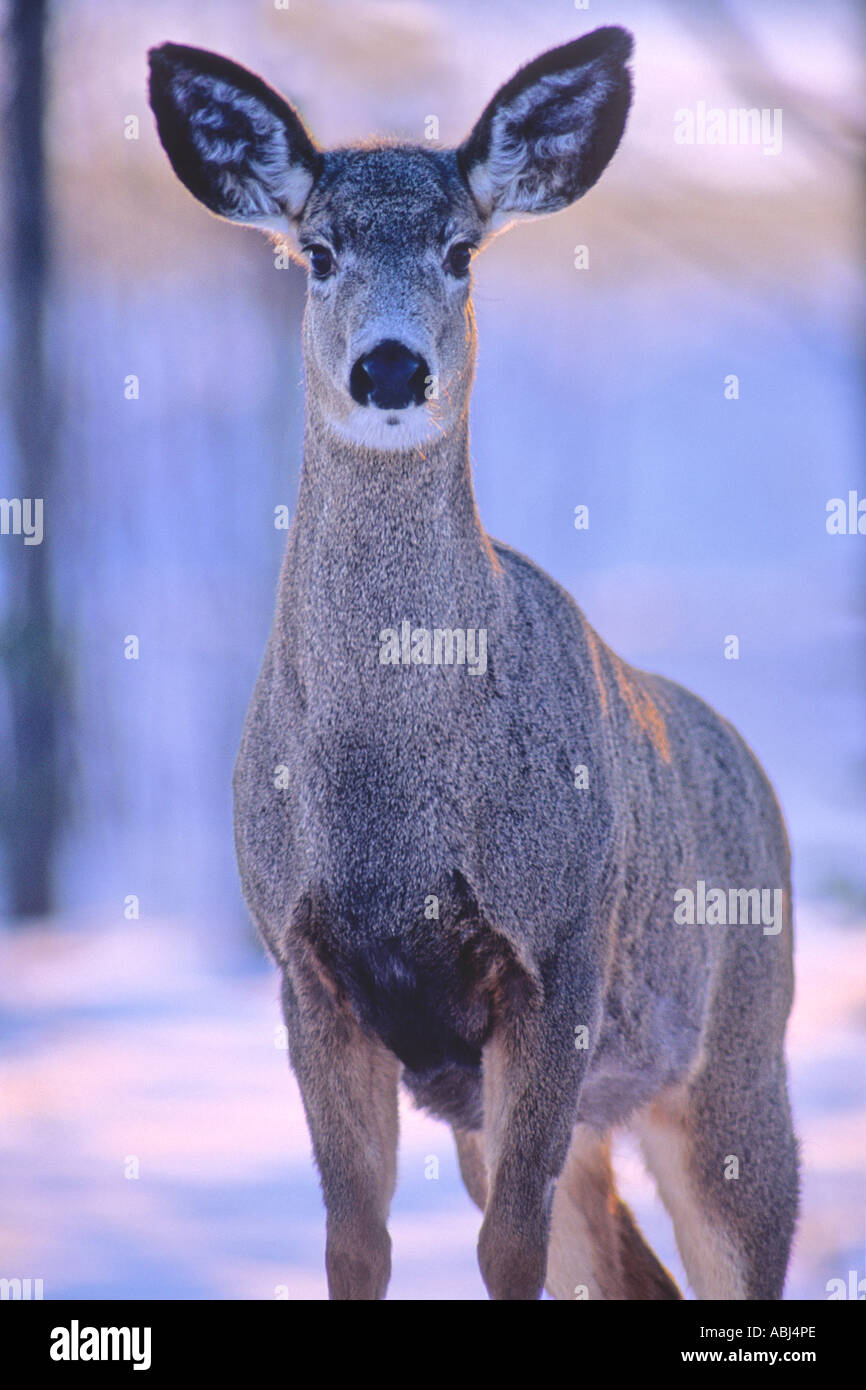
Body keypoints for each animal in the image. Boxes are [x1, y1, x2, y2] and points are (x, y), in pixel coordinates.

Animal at [148, 26, 798, 1301]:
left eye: (460, 251)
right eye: (316, 252)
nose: (392, 370)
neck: (391, 797)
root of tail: (750, 766)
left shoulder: (554, 950)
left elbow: (509, 1246)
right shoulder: (304, 965)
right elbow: (356, 1241)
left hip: (737, 1061)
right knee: (631, 1273)